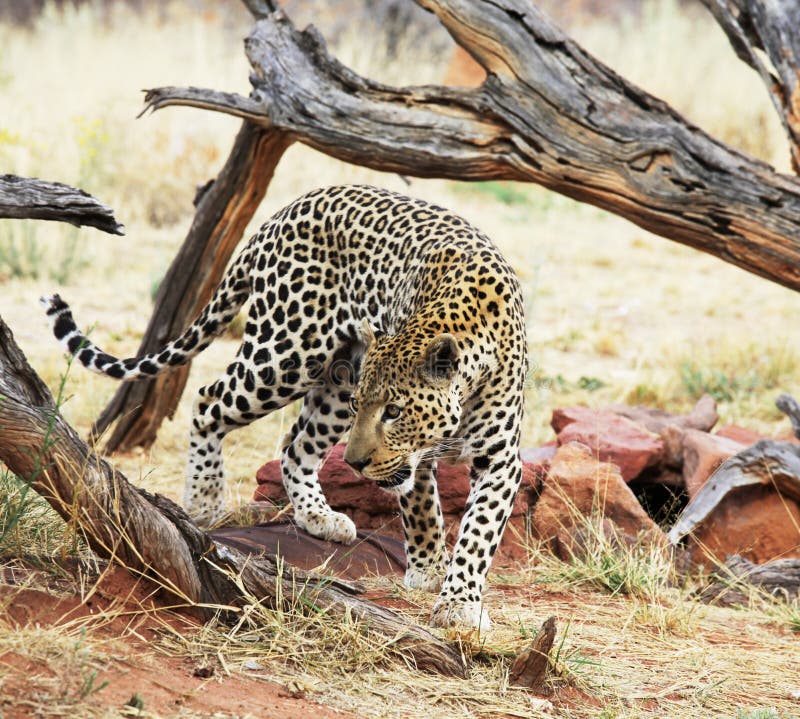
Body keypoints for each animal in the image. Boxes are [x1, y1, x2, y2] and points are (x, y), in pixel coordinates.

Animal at [41, 184, 527, 631]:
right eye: (368, 405)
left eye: (393, 411)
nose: (356, 464)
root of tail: (283, 211)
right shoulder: (414, 454)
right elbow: (422, 505)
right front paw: (431, 574)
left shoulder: (498, 459)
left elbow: (479, 532)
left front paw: (459, 600)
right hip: (286, 355)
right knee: (208, 401)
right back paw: (204, 502)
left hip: (331, 379)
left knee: (296, 447)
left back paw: (318, 516)